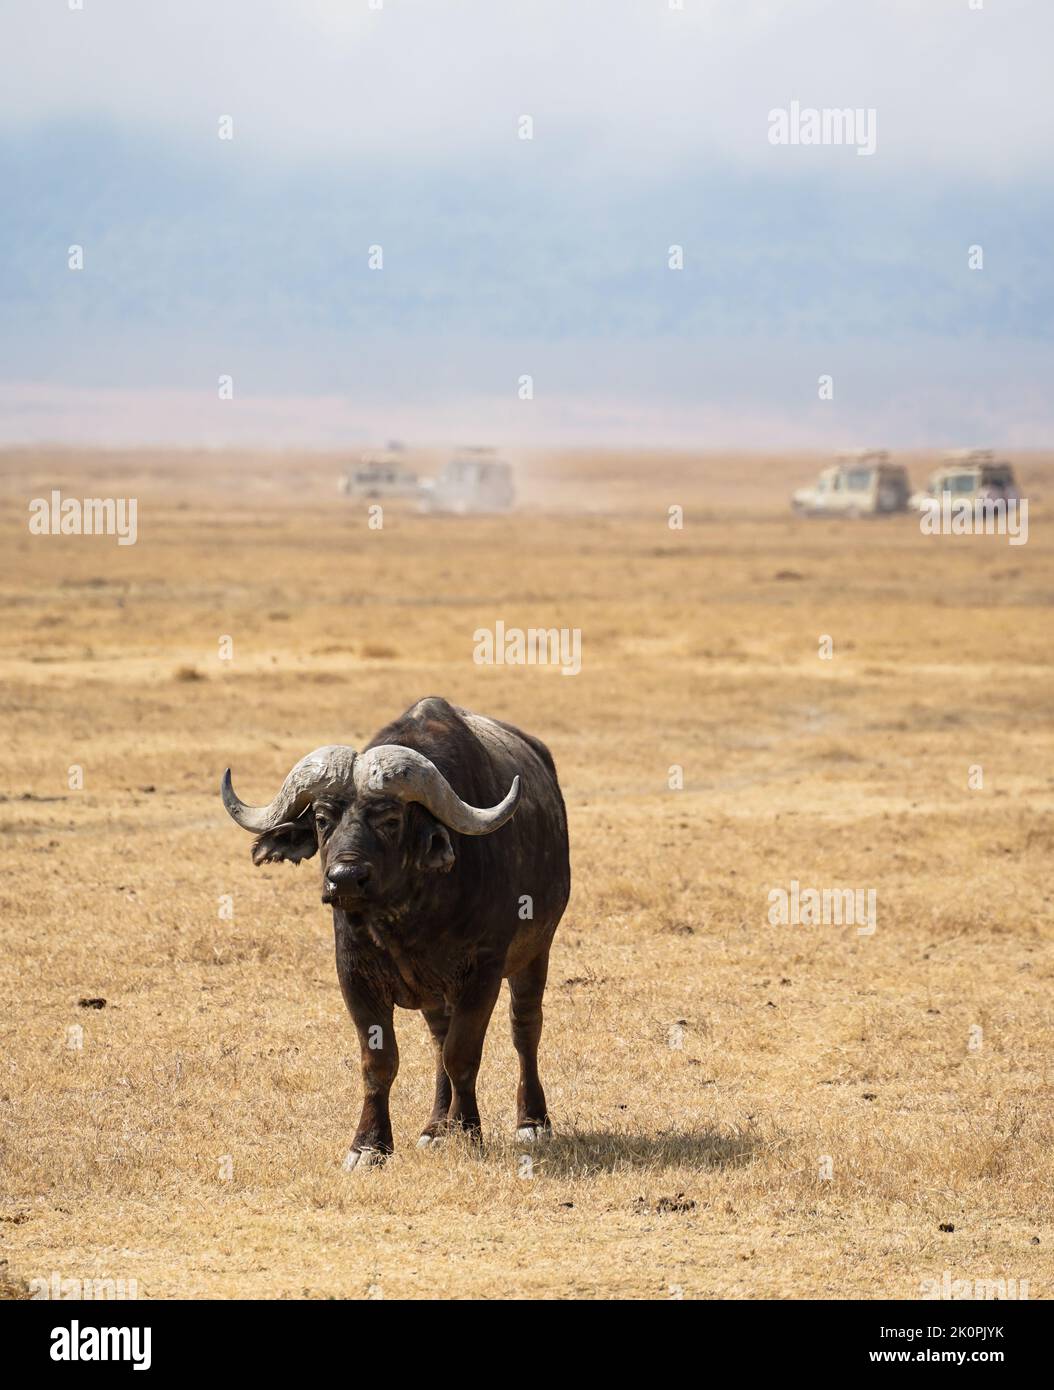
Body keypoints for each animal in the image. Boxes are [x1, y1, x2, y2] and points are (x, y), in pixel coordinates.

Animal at [221, 696, 570, 1165]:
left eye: (389, 820)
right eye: (322, 819)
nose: (345, 879)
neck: (407, 922)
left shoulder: (483, 972)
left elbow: (463, 1054)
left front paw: (468, 1131)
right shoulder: (353, 976)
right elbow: (381, 1061)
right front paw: (370, 1144)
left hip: (535, 952)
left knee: (525, 1028)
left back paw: (531, 1121)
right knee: (438, 1041)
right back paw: (435, 1126)